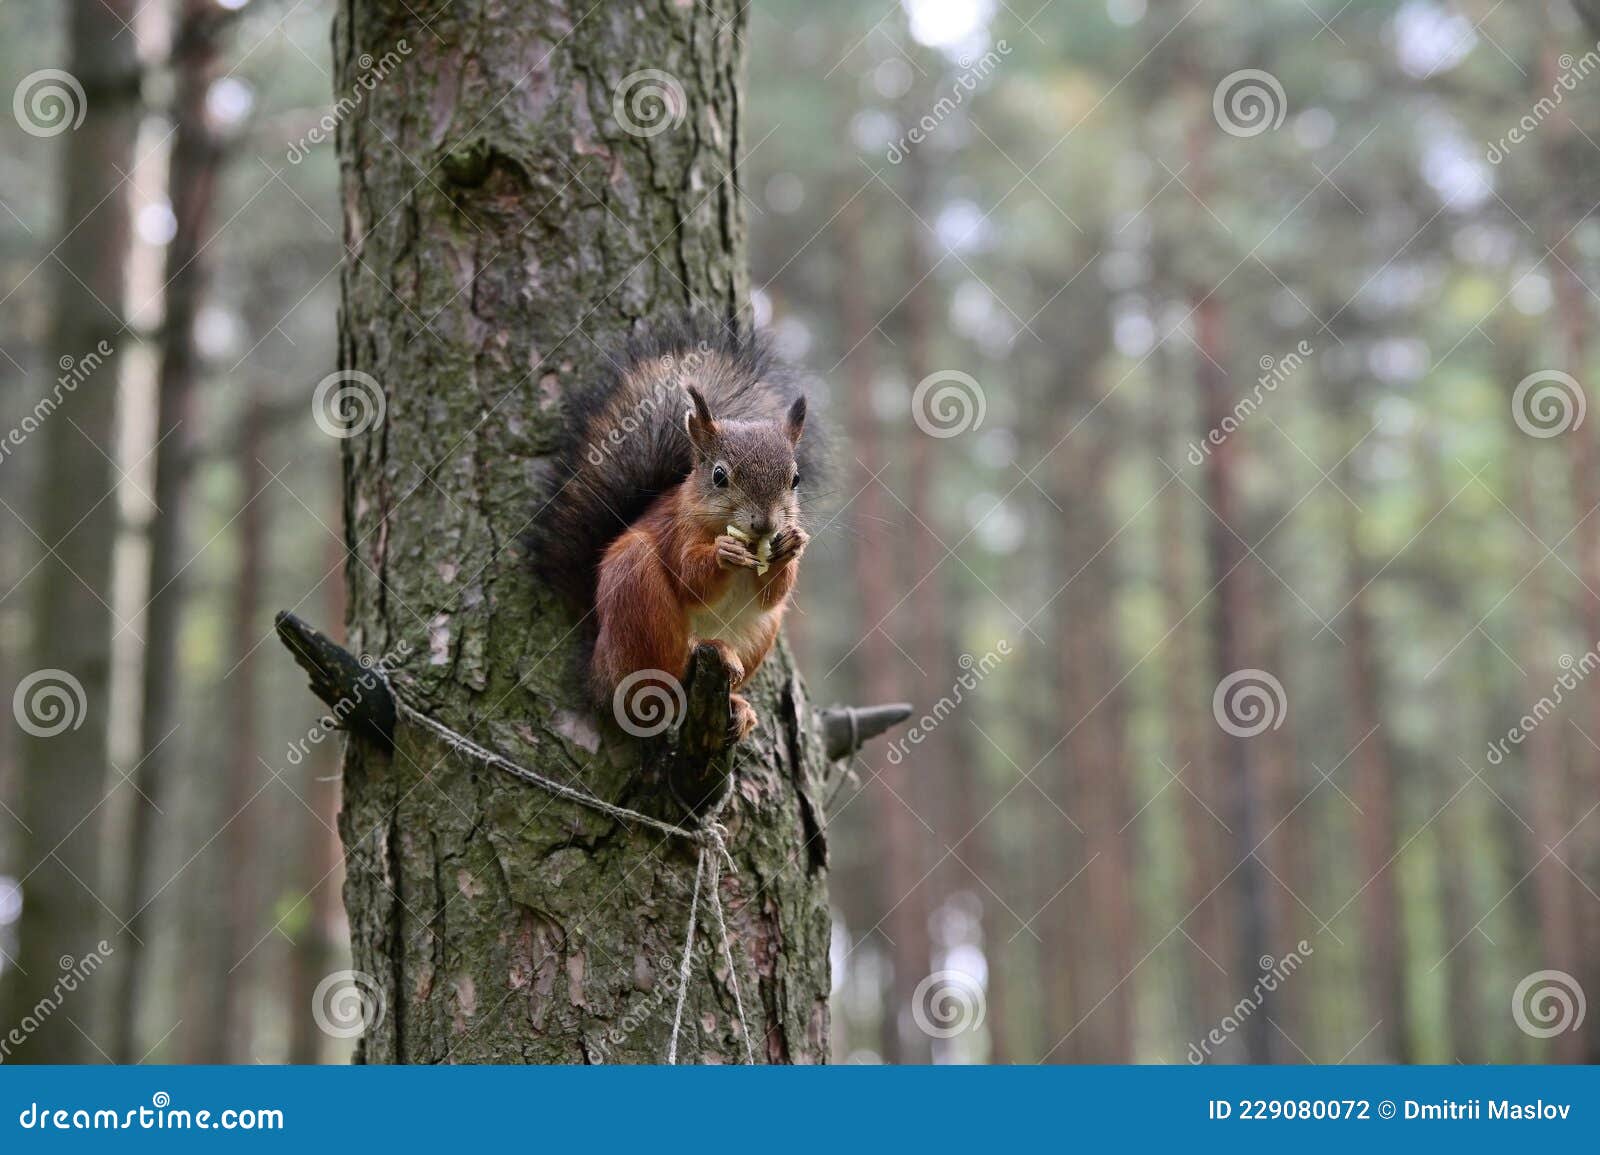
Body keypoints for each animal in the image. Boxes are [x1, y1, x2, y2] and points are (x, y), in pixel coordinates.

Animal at [535, 319, 823, 740]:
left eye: (795, 479)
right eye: (719, 476)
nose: (766, 523)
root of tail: (598, 672)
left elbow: (773, 594)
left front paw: (791, 547)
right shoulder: (677, 532)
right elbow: (689, 579)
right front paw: (723, 554)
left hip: (760, 633)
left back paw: (739, 706)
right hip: (636, 593)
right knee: (662, 677)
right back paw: (699, 657)